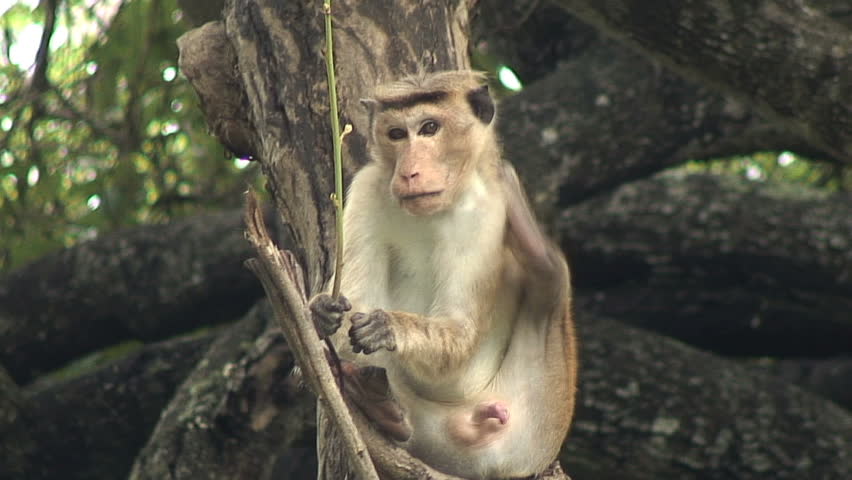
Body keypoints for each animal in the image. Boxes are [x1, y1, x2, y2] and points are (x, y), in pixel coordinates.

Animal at [310, 70, 577, 479]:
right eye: (396, 134)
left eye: (429, 128)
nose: (409, 171)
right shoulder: (370, 186)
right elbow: (346, 324)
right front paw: (322, 312)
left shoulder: (483, 212)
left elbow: (460, 332)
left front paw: (388, 326)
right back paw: (379, 404)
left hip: (538, 414)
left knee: (552, 287)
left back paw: (541, 256)